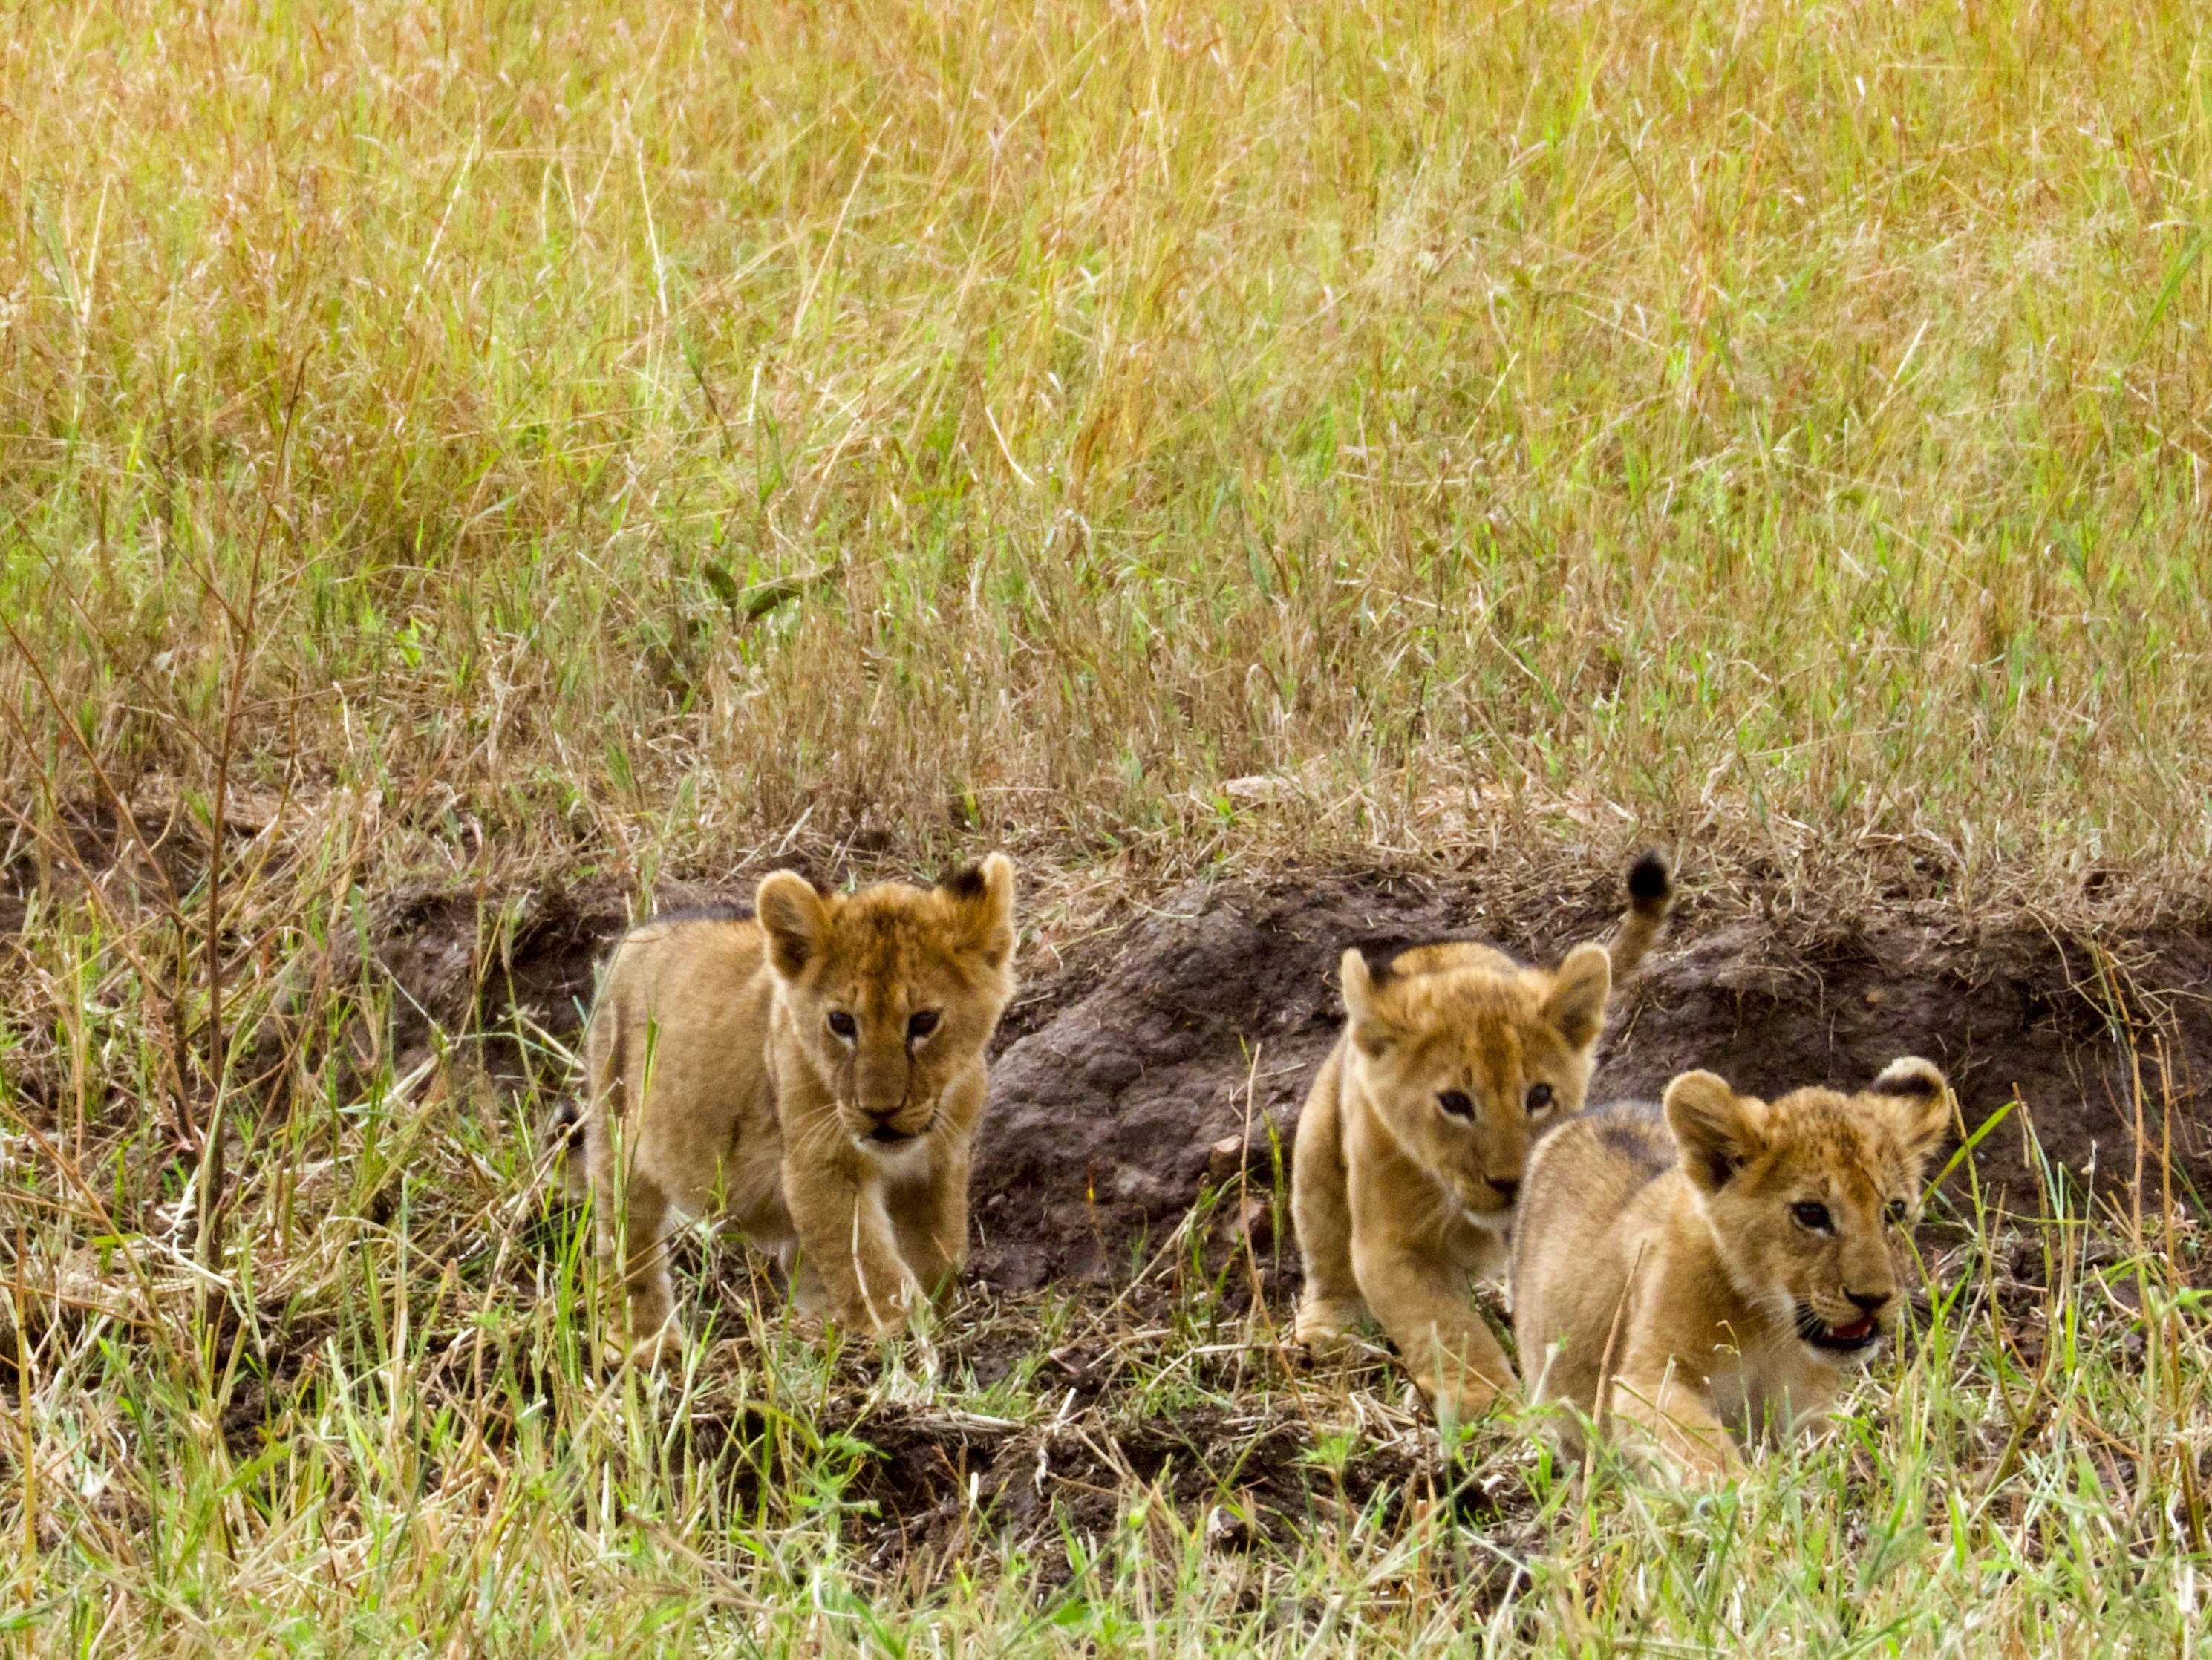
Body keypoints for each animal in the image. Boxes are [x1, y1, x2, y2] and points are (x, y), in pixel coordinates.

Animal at [568, 856, 1016, 1360]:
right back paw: (644, 1342)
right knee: (625, 1242)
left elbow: (940, 1253)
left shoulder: (940, 1162)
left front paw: (935, 1311)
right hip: (616, 1130)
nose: (880, 1111)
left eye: (924, 1022)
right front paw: (901, 1331)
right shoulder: (818, 1164)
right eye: (841, 1022)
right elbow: (865, 1262)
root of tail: (634, 935)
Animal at [1289, 850, 1675, 1423]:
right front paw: (1490, 1406)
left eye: (1539, 1095)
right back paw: (1327, 1332)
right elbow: (1445, 1326)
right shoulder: (1389, 1242)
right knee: (1323, 1243)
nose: (1509, 1183)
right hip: (1315, 1148)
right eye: (1453, 1102)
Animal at [1510, 1057, 1953, 1482]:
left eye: (1894, 1211)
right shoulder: (1646, 1378)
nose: (1874, 1299)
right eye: (1811, 1213)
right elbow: (1701, 1448)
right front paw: (1744, 1499)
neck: (1766, 1325)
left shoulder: (1804, 1408)